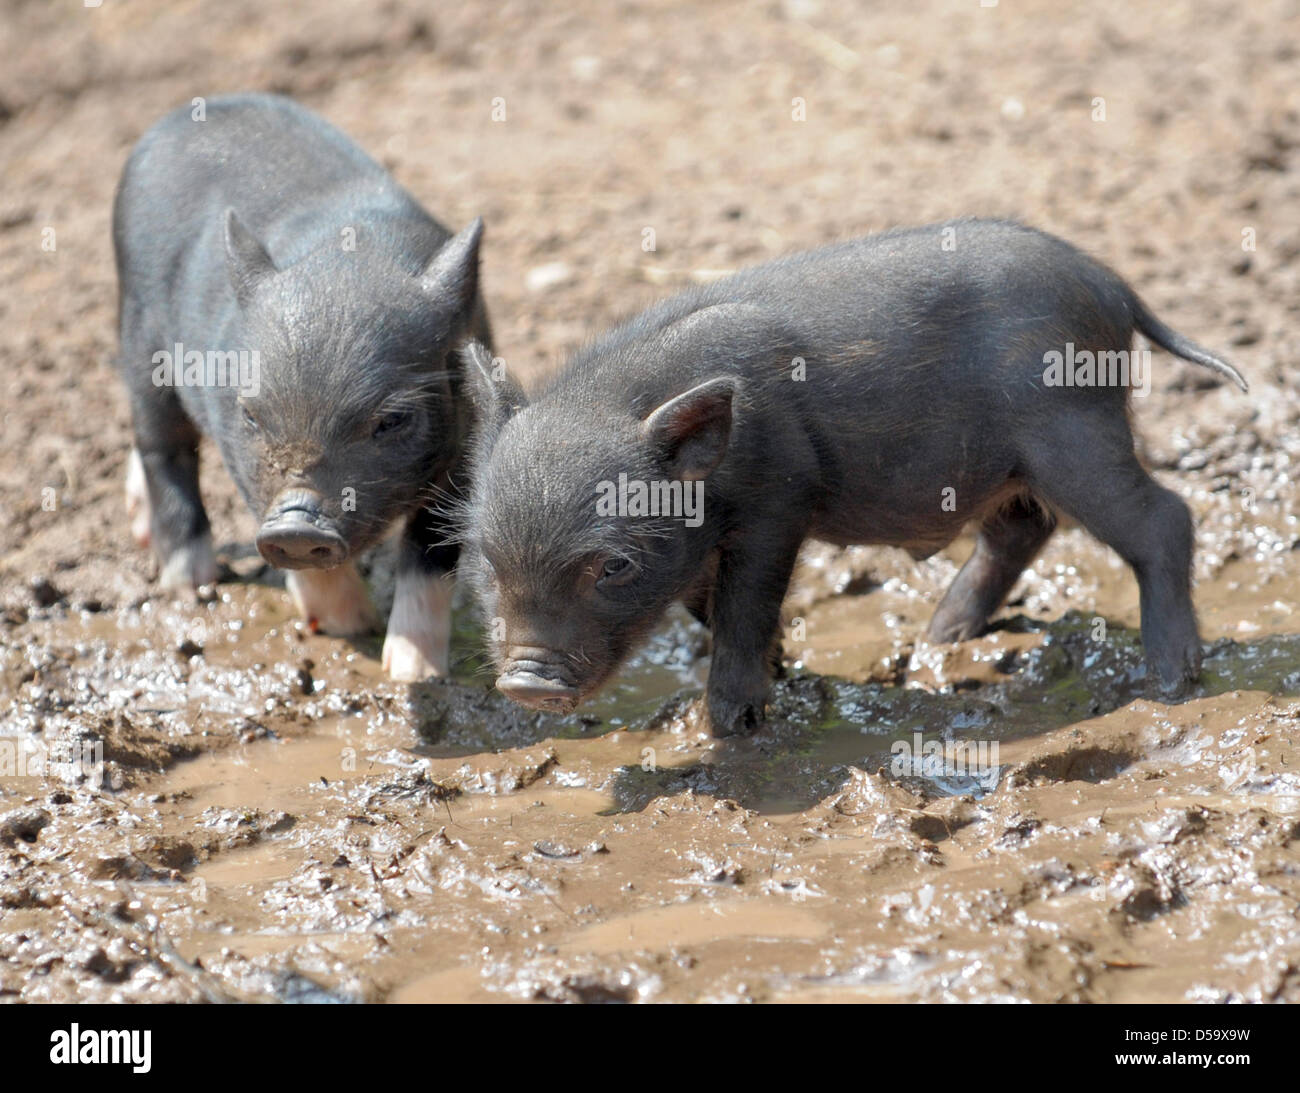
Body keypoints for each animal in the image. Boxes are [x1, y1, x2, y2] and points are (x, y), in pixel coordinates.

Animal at [113, 93, 489, 681]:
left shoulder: (463, 452)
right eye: (252, 416)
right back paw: (190, 584)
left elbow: (430, 556)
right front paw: (348, 627)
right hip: (140, 339)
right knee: (162, 447)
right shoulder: (241, 457)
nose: (297, 526)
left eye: (391, 420)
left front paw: (413, 672)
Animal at [459, 218, 1247, 736]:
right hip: (1017, 460)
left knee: (1164, 518)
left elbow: (744, 610)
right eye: (487, 564)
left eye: (614, 566)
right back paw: (940, 639)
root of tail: (1113, 285)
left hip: (1074, 428)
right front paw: (779, 673)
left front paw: (730, 724)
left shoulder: (780, 500)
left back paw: (1171, 677)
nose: (525, 682)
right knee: (1023, 528)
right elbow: (708, 609)